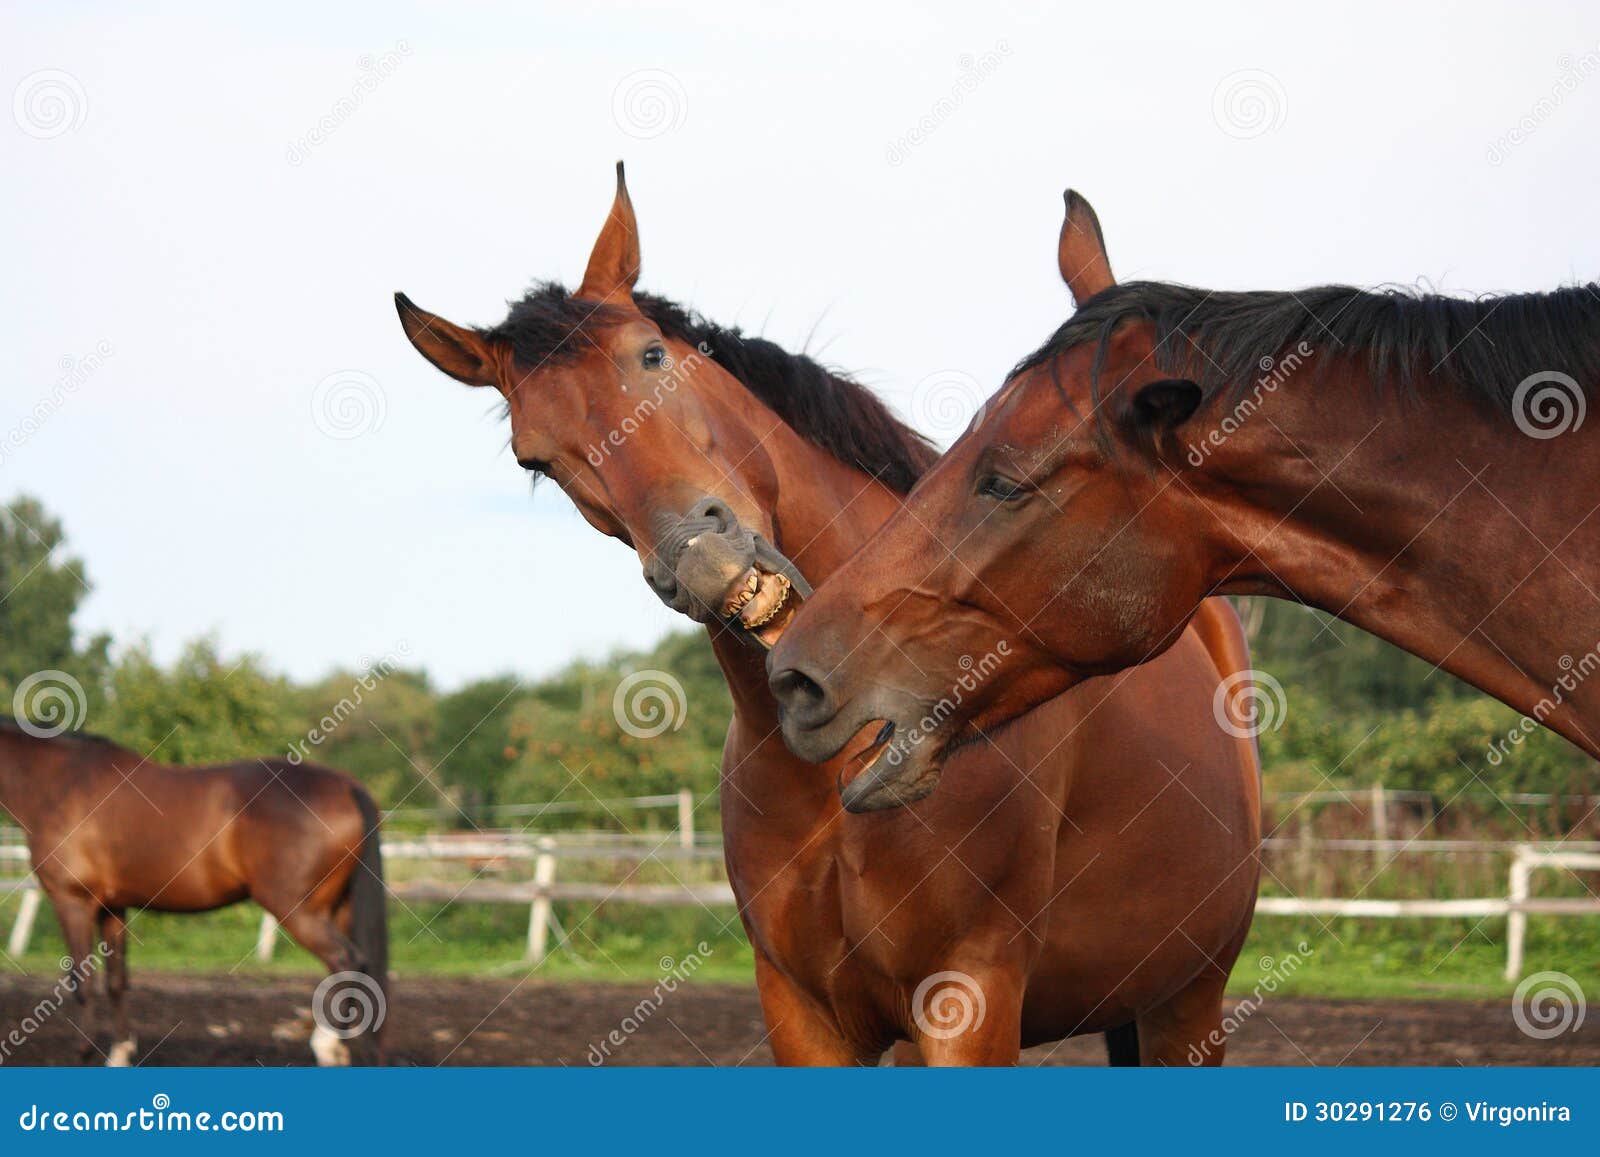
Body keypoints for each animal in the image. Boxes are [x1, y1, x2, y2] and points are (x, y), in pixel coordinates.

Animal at [0, 718, 388, 1064]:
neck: (60, 782)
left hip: (298, 910)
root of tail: (348, 786)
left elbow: (82, 983)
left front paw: (83, 1053)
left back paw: (325, 1045)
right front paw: (120, 1054)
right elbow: (116, 981)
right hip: (337, 909)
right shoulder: (112, 907)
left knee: (346, 961)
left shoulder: (73, 902)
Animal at [395, 164, 1261, 1065]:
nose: (705, 562)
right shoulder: (803, 1008)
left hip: (1188, 1002)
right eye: (536, 459)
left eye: (651, 354)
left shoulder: (970, 996)